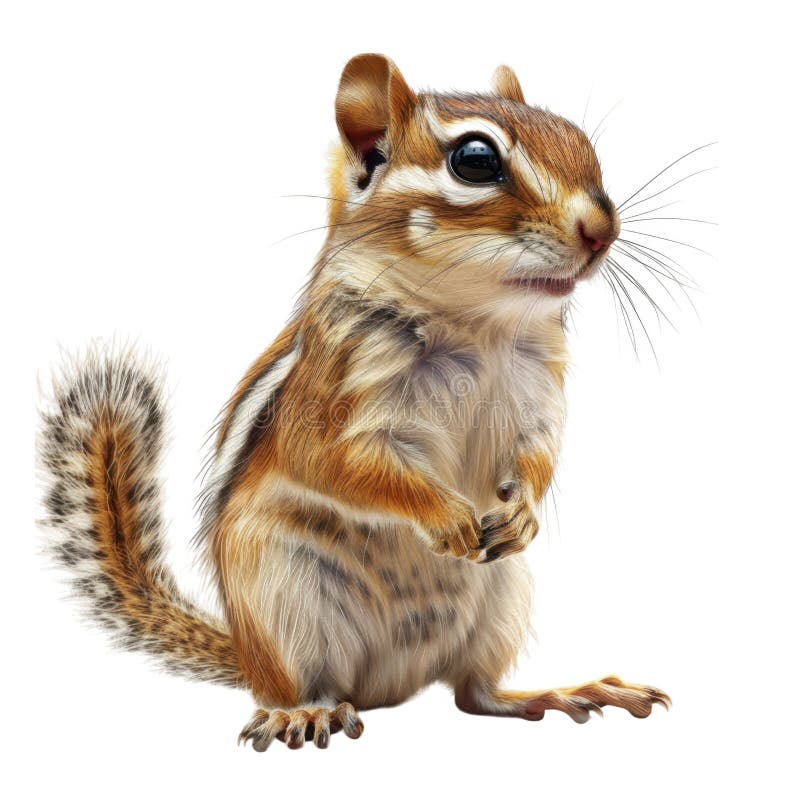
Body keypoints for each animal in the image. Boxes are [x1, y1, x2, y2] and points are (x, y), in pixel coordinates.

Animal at [38, 53, 670, 752]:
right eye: (475, 160)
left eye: (582, 143)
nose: (602, 230)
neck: (476, 323)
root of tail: (386, 688)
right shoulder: (330, 399)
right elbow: (337, 465)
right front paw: (444, 514)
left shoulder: (540, 396)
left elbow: (539, 454)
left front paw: (522, 514)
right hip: (283, 602)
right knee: (304, 687)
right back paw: (303, 712)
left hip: (504, 596)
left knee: (475, 696)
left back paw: (556, 693)